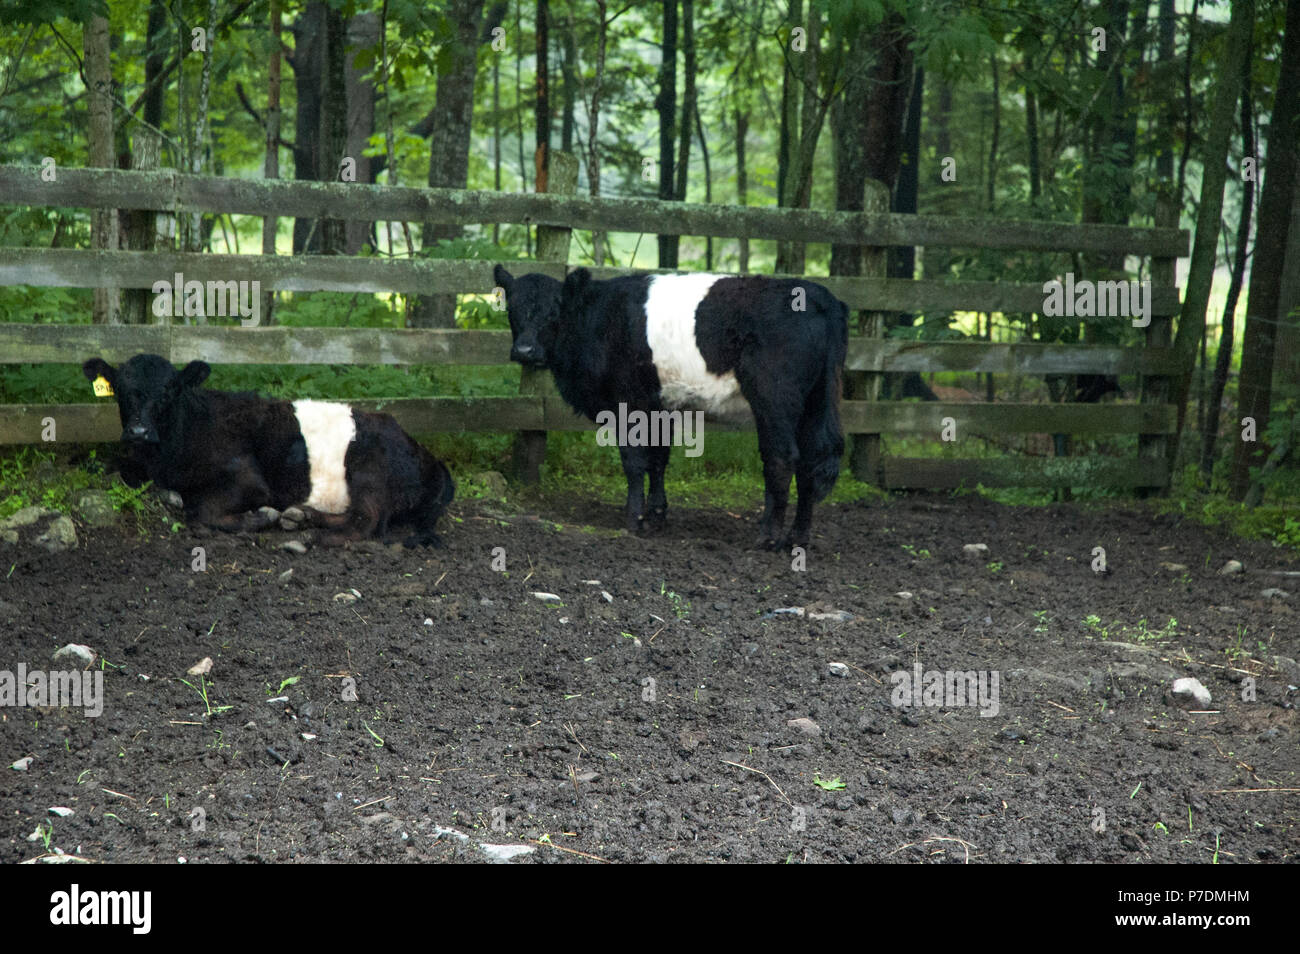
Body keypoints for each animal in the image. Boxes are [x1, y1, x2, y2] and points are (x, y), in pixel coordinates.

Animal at [81, 354, 454, 547]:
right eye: (121, 390)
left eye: (169, 390)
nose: (139, 432)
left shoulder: (249, 480)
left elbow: (203, 509)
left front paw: (258, 517)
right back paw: (301, 517)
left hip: (367, 471)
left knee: (368, 522)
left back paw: (312, 533)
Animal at [495, 265, 848, 549]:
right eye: (512, 308)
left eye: (553, 311)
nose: (524, 350)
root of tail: (821, 296)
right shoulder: (659, 405)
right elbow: (659, 458)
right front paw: (656, 515)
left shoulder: (628, 403)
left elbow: (634, 461)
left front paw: (634, 519)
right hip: (815, 401)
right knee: (812, 461)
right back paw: (797, 538)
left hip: (775, 399)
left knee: (781, 459)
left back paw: (768, 538)